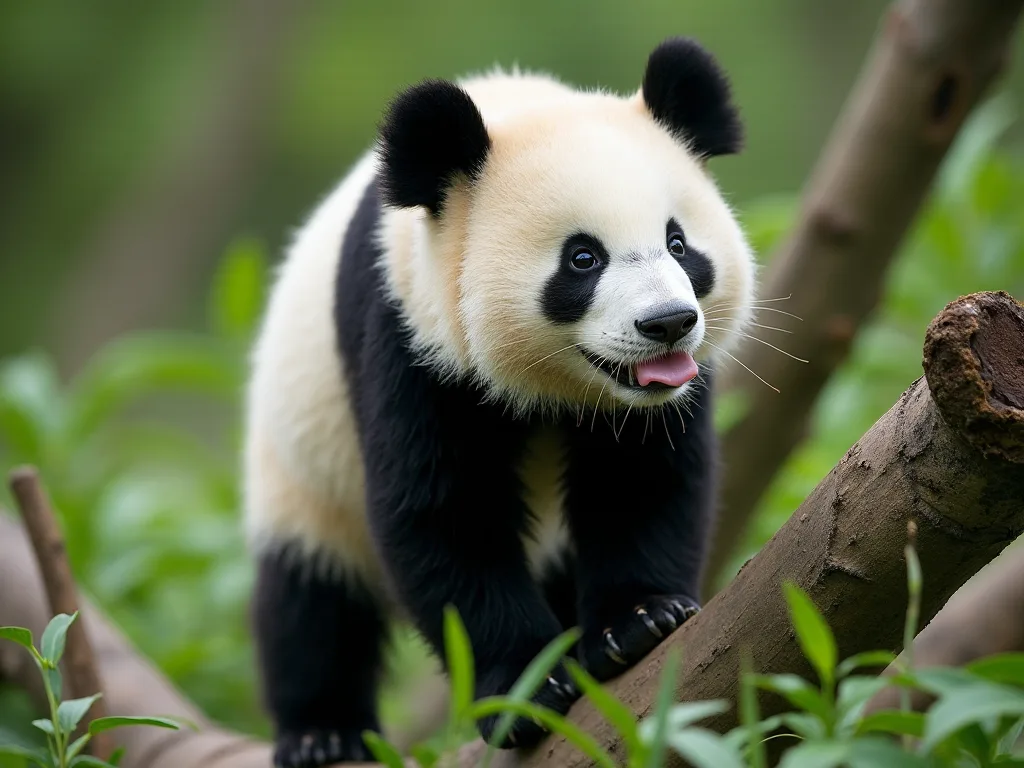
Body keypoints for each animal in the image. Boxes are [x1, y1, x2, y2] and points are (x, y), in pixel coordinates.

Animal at [244, 36, 755, 768]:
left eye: (679, 243)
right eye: (582, 258)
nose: (667, 324)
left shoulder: (659, 401)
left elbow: (641, 482)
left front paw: (638, 622)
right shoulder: (409, 334)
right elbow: (443, 514)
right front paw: (527, 686)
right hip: (301, 464)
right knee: (309, 598)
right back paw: (322, 733)